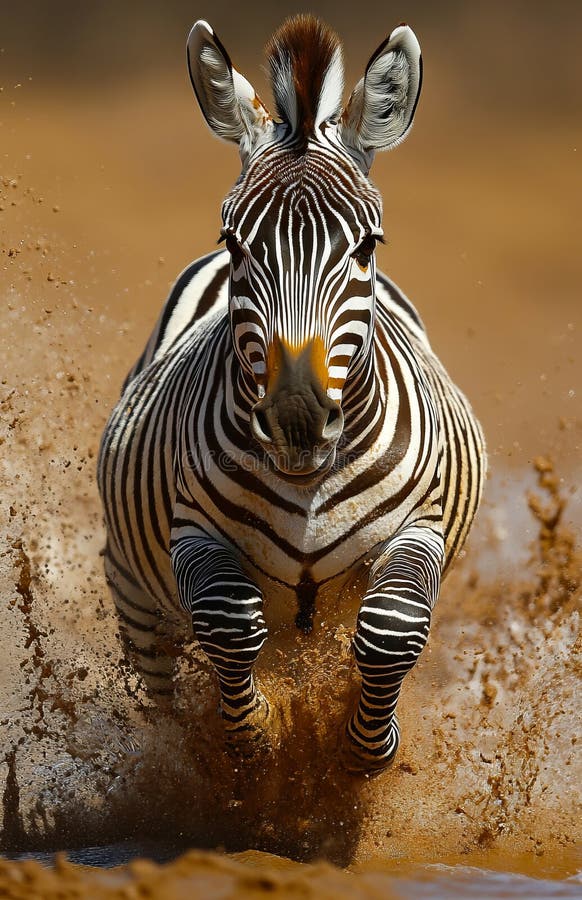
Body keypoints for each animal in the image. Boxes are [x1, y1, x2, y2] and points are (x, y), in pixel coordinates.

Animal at [98, 15, 486, 775]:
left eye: (367, 246)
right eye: (233, 241)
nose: (298, 420)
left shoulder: (419, 524)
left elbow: (392, 627)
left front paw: (362, 755)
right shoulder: (193, 531)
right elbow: (228, 622)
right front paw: (258, 743)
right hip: (135, 600)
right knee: (160, 694)